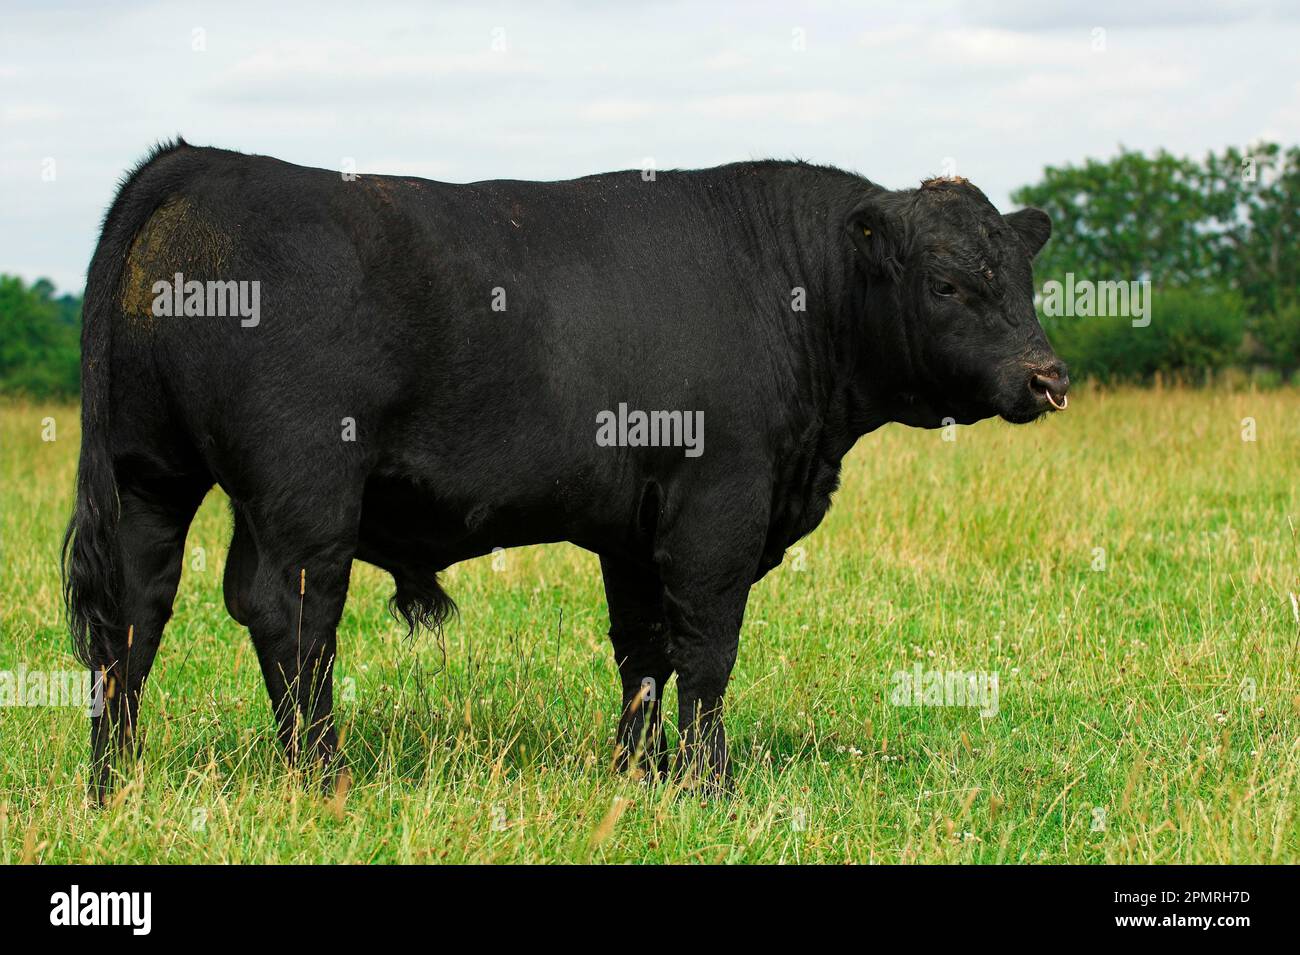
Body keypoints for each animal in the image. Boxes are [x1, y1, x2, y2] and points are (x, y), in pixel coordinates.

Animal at [63, 140, 1068, 800]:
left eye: (1022, 276)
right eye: (946, 282)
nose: (1047, 377)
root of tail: (202, 161)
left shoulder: (635, 523)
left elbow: (643, 649)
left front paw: (637, 771)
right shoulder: (718, 502)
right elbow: (708, 645)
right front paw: (709, 783)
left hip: (150, 475)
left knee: (134, 611)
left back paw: (117, 778)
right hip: (303, 488)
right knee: (290, 614)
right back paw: (321, 775)